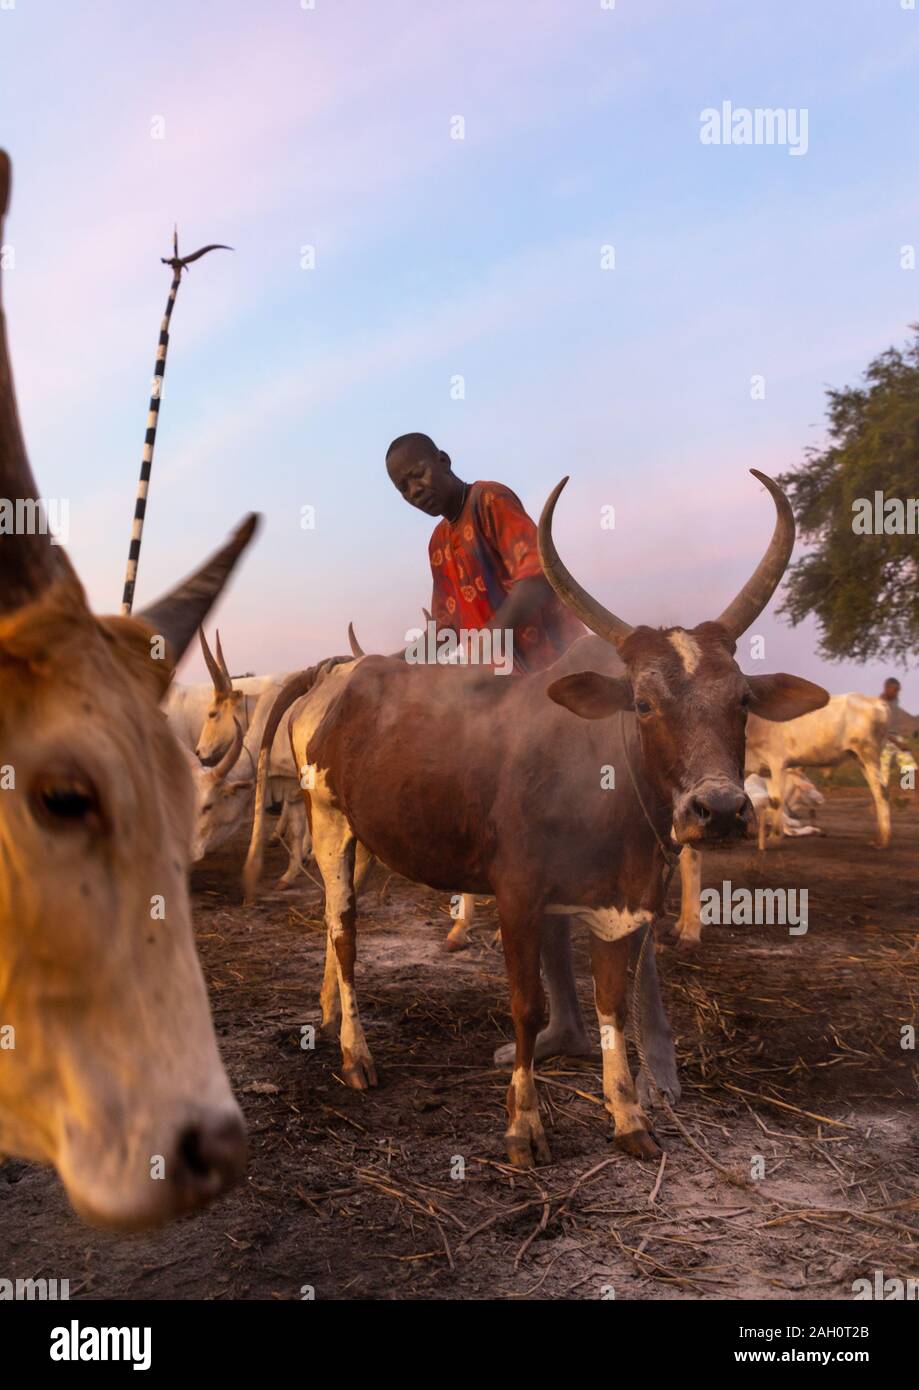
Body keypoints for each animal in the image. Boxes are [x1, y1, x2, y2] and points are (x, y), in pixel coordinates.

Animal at [244, 468, 828, 1167]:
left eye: (742, 699)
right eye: (642, 703)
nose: (717, 809)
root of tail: (340, 670)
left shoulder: (623, 904)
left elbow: (613, 1009)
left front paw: (628, 1113)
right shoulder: (518, 895)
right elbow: (525, 1005)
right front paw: (524, 1123)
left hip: (361, 834)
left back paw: (331, 1014)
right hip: (328, 821)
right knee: (343, 933)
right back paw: (355, 1054)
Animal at [745, 693, 890, 849]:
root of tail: (876, 701)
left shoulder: (777, 763)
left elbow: (777, 801)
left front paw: (775, 837)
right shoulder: (766, 770)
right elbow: (773, 801)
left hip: (869, 754)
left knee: (881, 791)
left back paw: (883, 840)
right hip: (859, 757)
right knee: (876, 791)